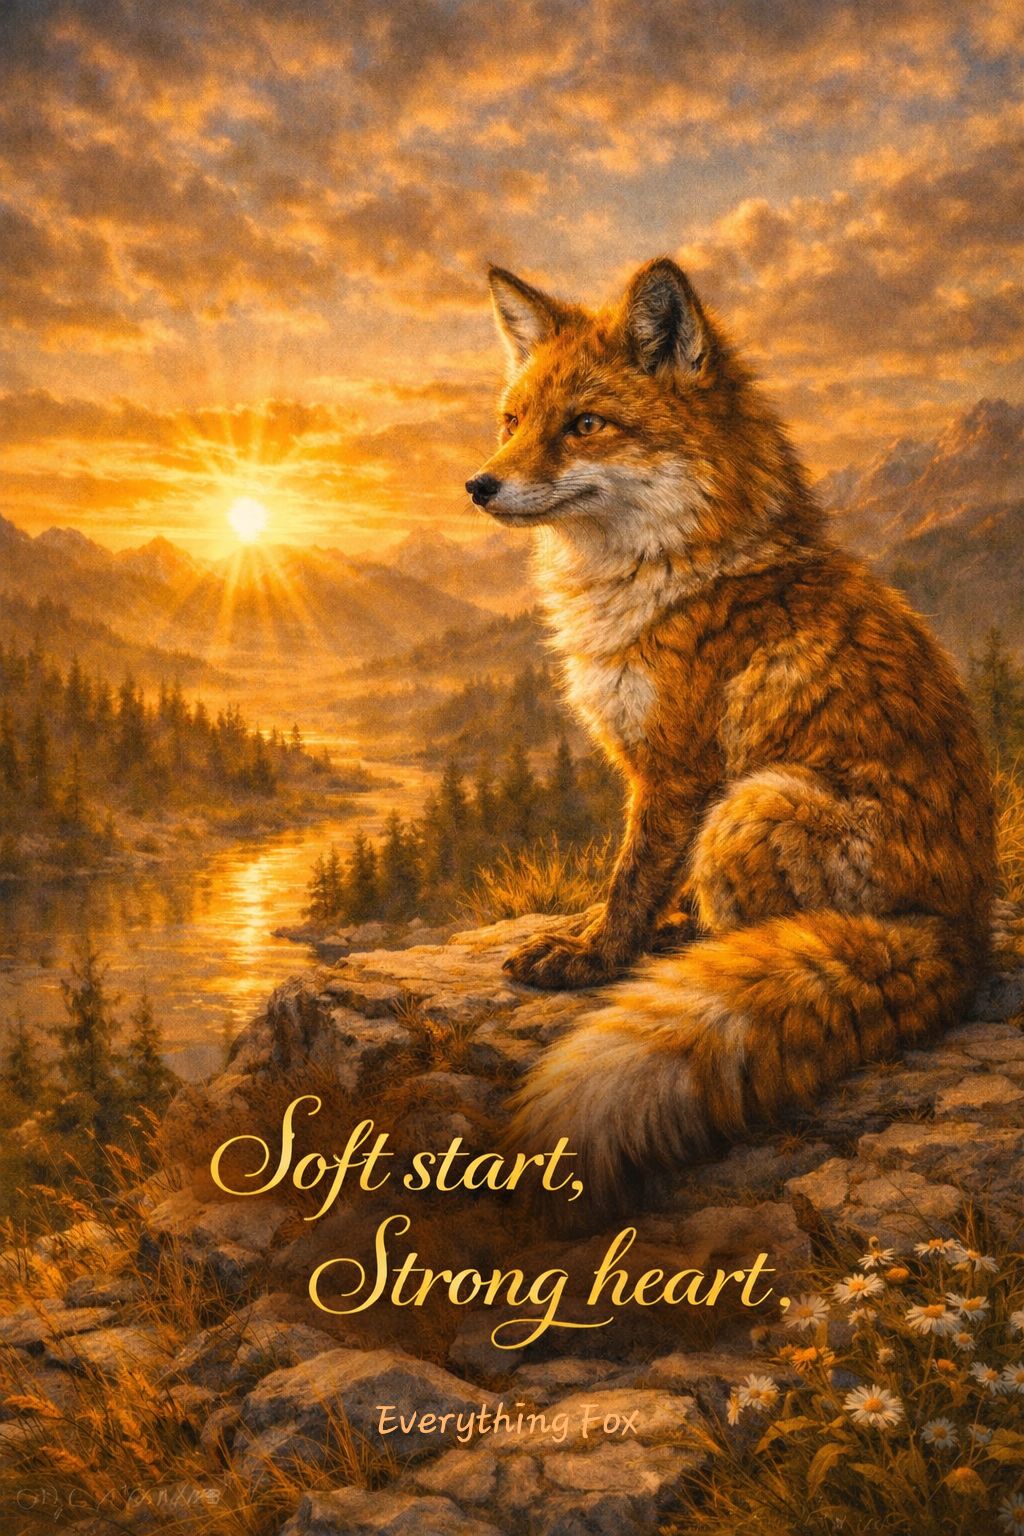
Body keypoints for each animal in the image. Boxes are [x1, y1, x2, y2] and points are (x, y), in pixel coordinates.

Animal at [464, 255, 997, 1216]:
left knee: (748, 933)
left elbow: (632, 879)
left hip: (754, 803)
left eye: (585, 425)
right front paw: (597, 932)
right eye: (512, 422)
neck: (678, 571)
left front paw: (593, 956)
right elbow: (634, 879)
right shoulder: (658, 775)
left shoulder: (677, 773)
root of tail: (959, 936)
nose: (478, 485)